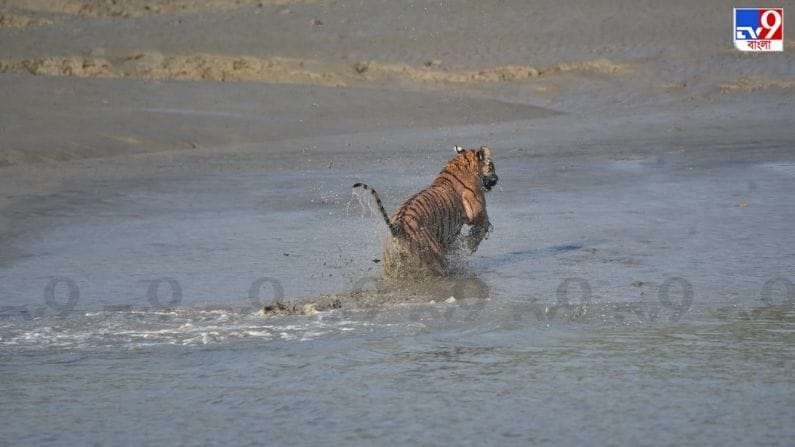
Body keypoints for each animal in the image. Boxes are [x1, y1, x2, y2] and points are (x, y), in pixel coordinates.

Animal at [353, 145, 498, 278]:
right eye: (492, 166)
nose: (497, 178)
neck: (461, 163)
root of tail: (398, 227)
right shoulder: (478, 214)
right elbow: (482, 229)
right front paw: (470, 245)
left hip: (391, 262)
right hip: (435, 257)